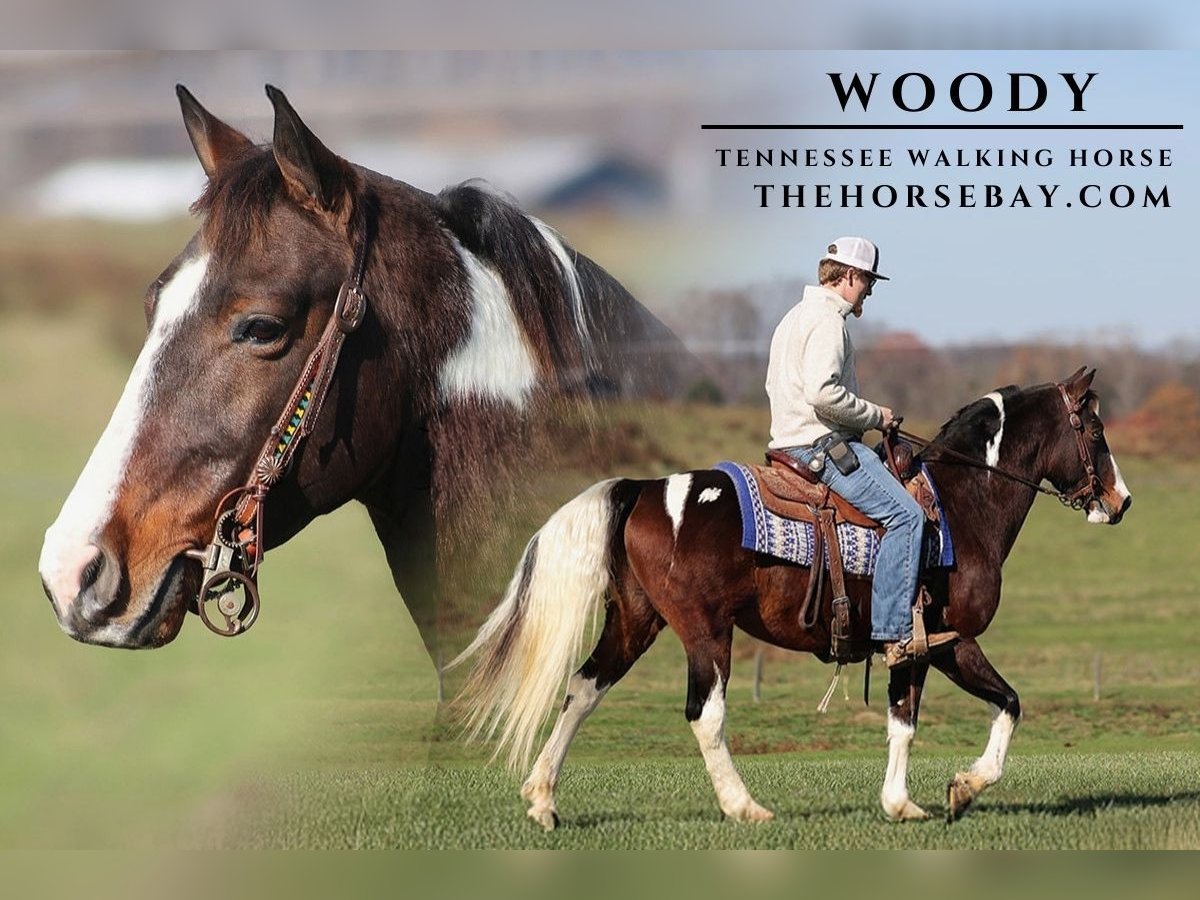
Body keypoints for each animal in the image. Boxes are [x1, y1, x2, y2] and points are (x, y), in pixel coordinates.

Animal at [453, 367, 1133, 828]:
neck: (960, 505)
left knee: (582, 689)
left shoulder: (911, 649)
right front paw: (963, 788)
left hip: (634, 624)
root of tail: (645, 488)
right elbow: (1007, 705)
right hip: (706, 632)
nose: (1121, 501)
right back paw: (744, 807)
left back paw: (543, 799)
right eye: (1095, 428)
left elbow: (904, 723)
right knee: (705, 715)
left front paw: (901, 803)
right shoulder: (948, 642)